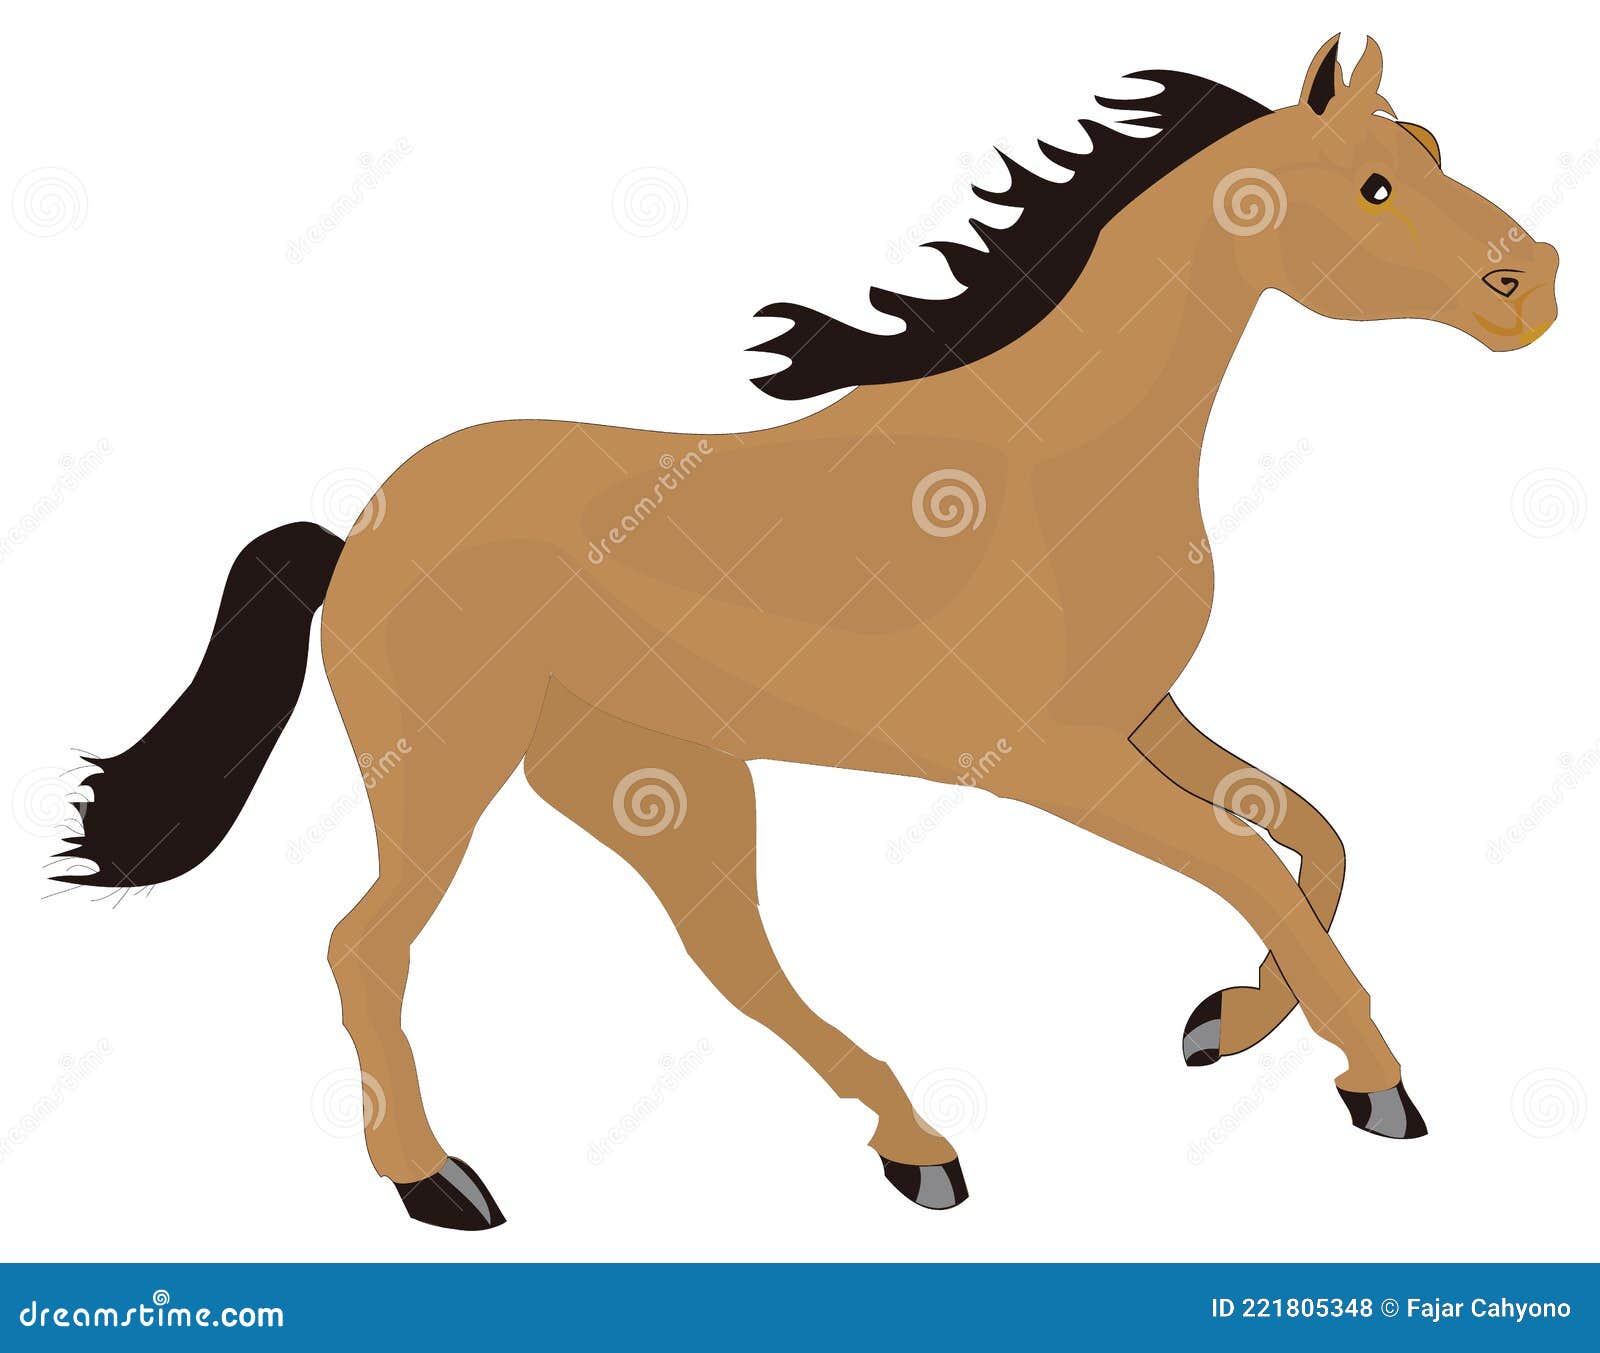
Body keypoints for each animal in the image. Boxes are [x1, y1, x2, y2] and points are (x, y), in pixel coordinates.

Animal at [56, 35, 1559, 1228]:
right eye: (1374, 185)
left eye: (1427, 148)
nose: (1532, 283)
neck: (1058, 460)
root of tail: (357, 532)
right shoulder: (1052, 760)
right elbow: (1254, 865)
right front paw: (1376, 1086)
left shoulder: (1144, 718)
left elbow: (1317, 842)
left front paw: (1222, 1024)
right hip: (450, 763)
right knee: (368, 946)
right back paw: (440, 1183)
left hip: (652, 778)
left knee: (732, 962)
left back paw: (920, 1150)